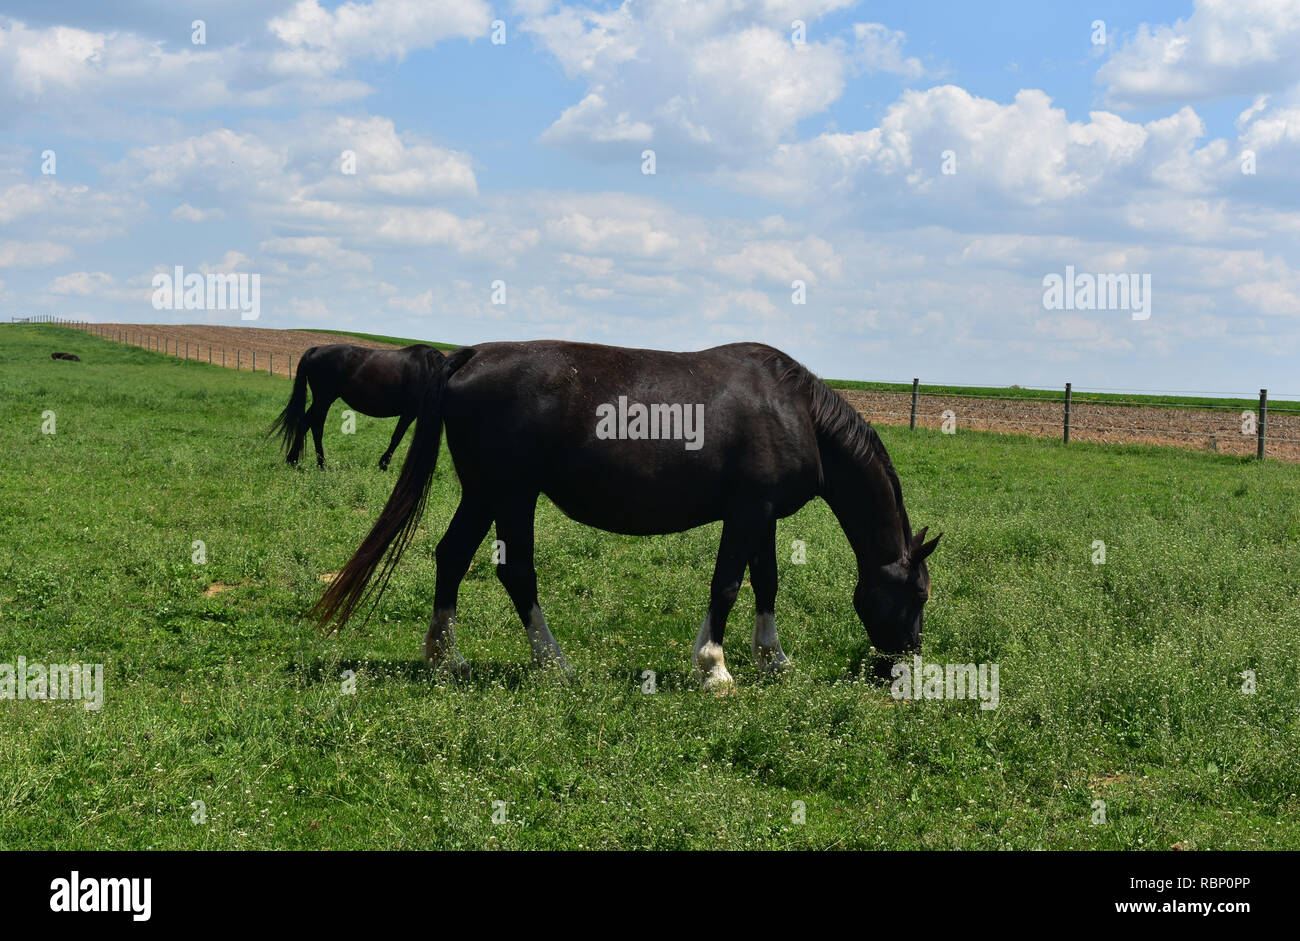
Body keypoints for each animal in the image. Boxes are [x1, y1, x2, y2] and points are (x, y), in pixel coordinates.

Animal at [271, 343, 445, 470]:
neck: (430, 369)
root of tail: (315, 350)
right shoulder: (410, 412)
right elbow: (397, 437)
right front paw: (383, 465)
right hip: (323, 399)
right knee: (316, 426)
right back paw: (321, 464)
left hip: (322, 400)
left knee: (305, 423)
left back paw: (292, 460)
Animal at [312, 340, 940, 691]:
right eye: (919, 593)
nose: (906, 660)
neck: (797, 410)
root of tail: (470, 357)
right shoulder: (746, 513)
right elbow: (728, 585)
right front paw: (715, 668)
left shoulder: (762, 516)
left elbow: (766, 583)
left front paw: (773, 660)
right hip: (511, 495)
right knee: (516, 573)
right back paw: (554, 664)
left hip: (486, 494)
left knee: (452, 557)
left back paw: (447, 660)